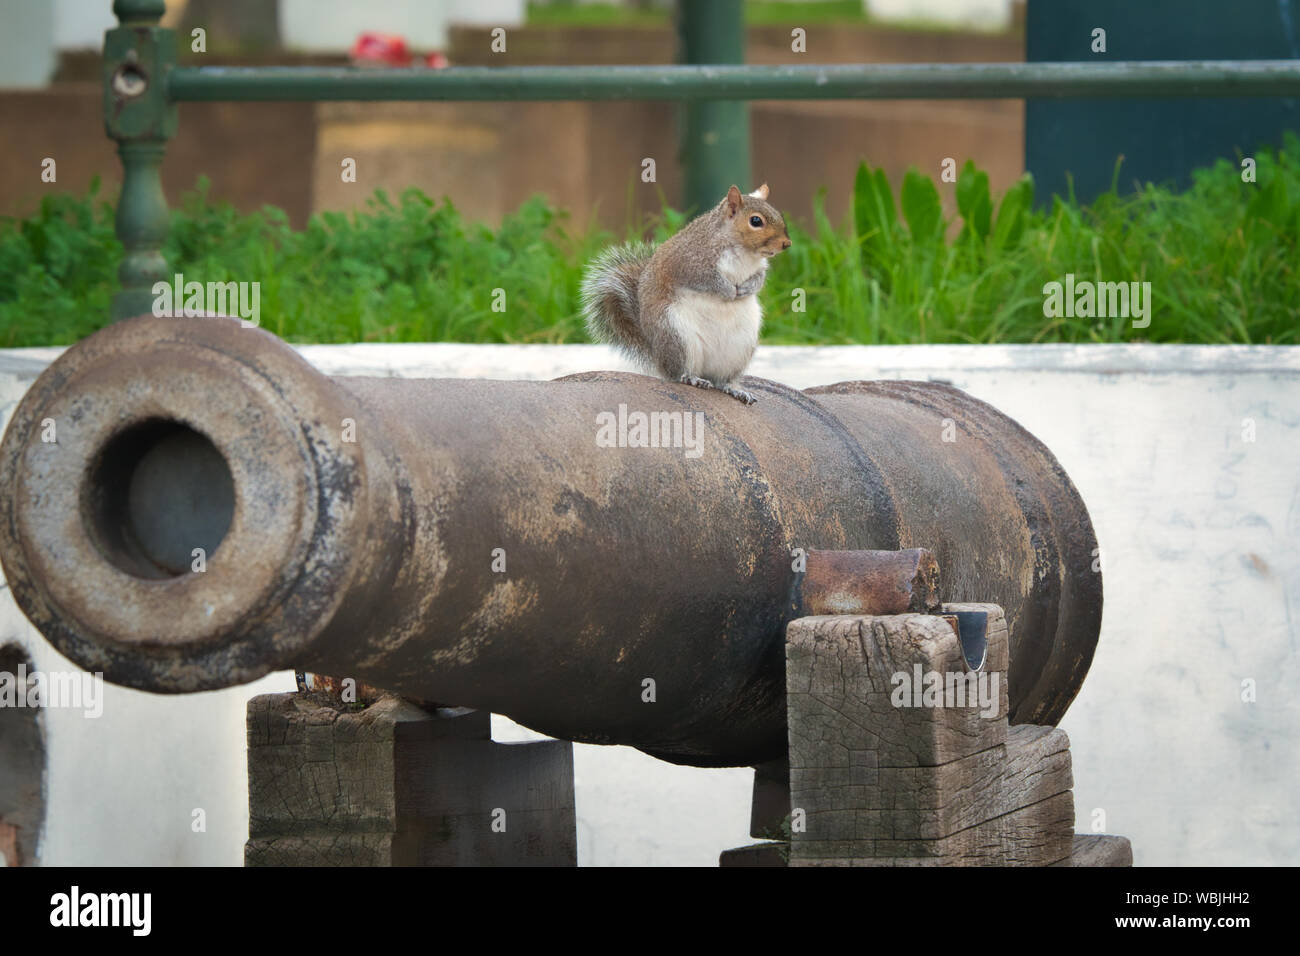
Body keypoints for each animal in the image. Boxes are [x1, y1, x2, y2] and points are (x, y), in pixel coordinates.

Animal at [581, 183, 792, 405]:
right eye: (756, 221)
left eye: (778, 214)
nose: (786, 244)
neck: (744, 251)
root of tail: (657, 353)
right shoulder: (689, 264)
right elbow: (708, 281)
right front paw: (727, 290)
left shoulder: (759, 268)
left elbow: (759, 279)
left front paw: (746, 289)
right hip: (676, 335)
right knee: (677, 373)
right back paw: (691, 378)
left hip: (739, 349)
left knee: (721, 380)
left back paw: (734, 389)